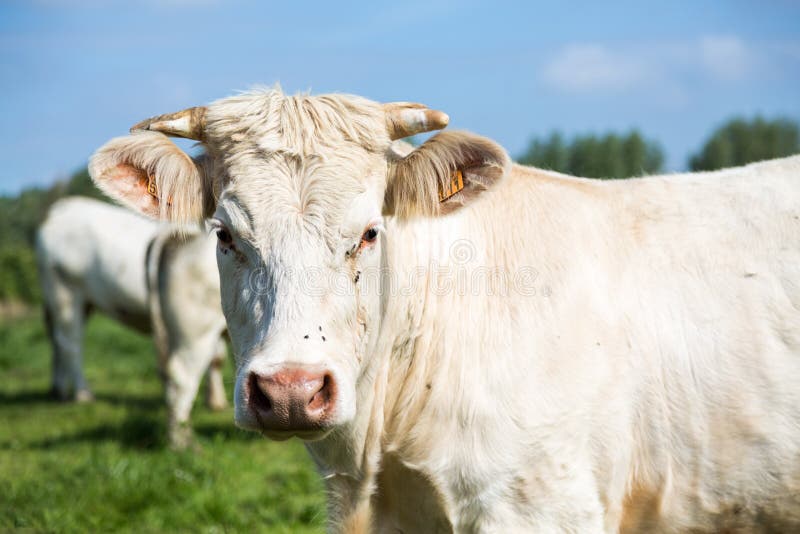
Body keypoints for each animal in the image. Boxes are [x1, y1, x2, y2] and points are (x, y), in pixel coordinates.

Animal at [36, 197, 227, 447]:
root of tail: (61, 208)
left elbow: (218, 360)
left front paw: (216, 403)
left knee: (58, 343)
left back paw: (59, 391)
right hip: (66, 293)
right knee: (71, 344)